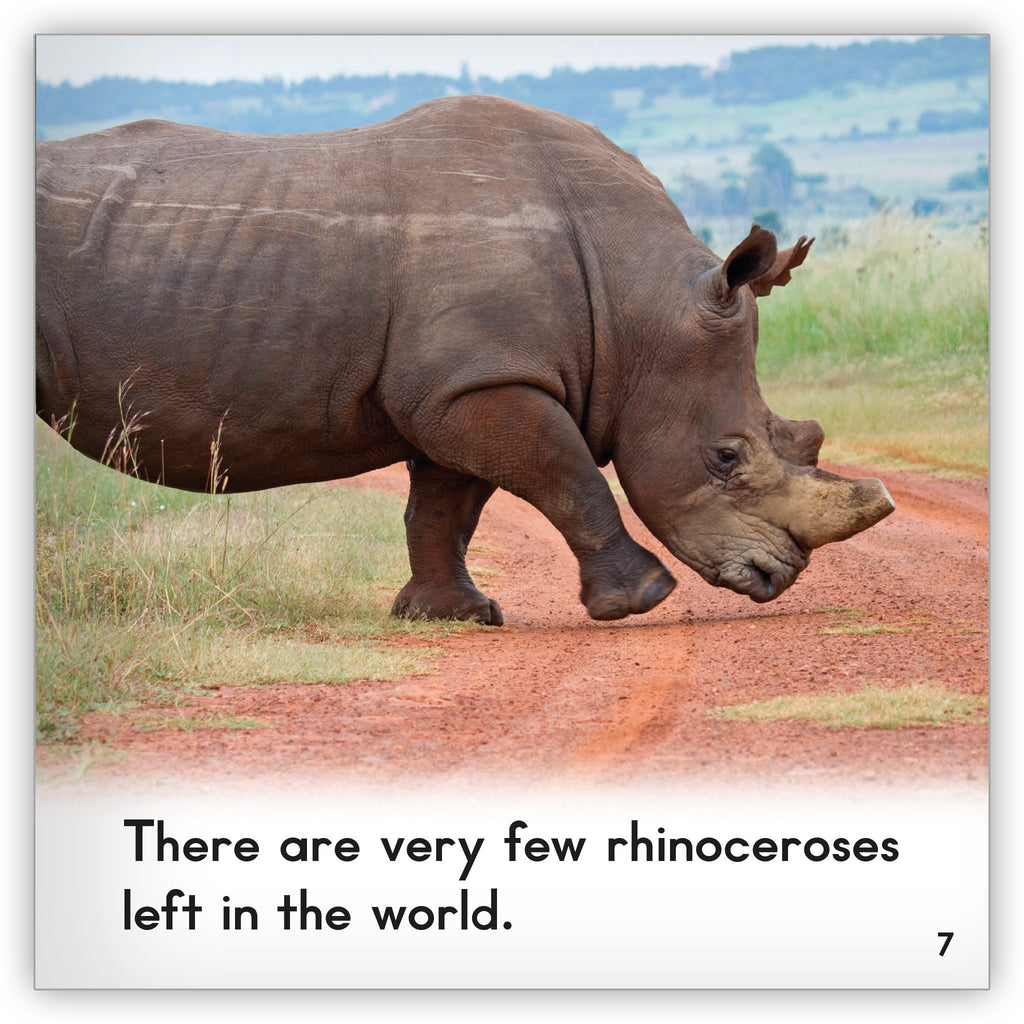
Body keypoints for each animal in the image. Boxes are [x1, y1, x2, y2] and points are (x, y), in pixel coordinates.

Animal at [36, 95, 893, 626]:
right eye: (725, 457)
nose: (778, 578)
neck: (636, 309)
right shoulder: (483, 383)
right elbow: (570, 478)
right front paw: (643, 598)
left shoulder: (463, 383)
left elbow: (447, 506)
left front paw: (450, 615)